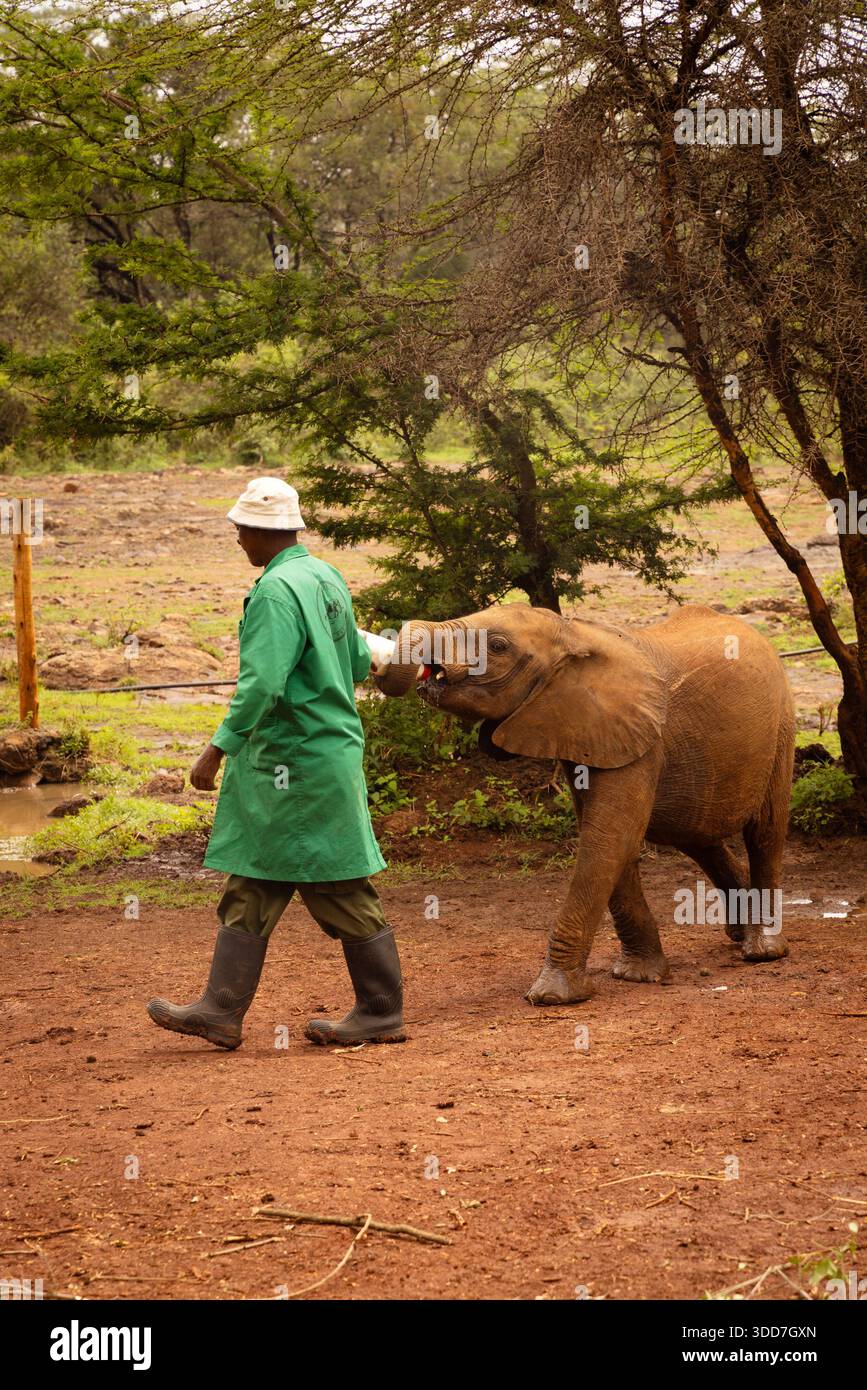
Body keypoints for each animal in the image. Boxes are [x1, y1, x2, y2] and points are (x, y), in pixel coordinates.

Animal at [376, 603, 795, 1005]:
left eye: (497, 646)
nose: (380, 666)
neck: (573, 634)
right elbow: (612, 841)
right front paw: (637, 975)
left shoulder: (639, 738)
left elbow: (608, 840)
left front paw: (552, 996)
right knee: (695, 834)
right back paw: (739, 932)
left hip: (782, 723)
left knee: (765, 832)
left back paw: (762, 950)